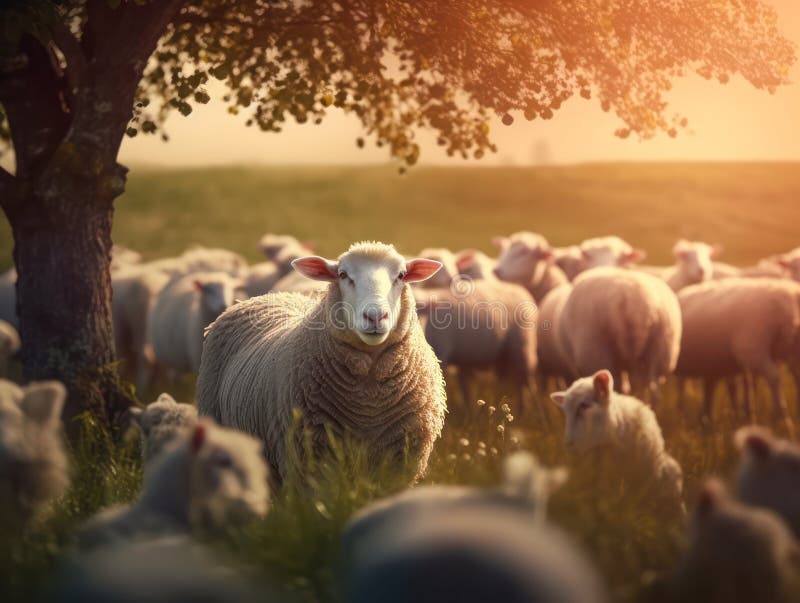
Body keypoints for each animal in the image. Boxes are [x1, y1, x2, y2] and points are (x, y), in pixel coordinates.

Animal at [197, 241, 447, 483]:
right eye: (343, 275)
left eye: (401, 275)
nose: (375, 316)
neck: (368, 404)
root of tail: (271, 295)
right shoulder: (311, 462)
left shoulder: (398, 464)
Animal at [415, 278, 538, 416]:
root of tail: (521, 290)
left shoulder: (441, 352)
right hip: (501, 355)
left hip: (523, 345)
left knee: (525, 383)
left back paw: (527, 411)